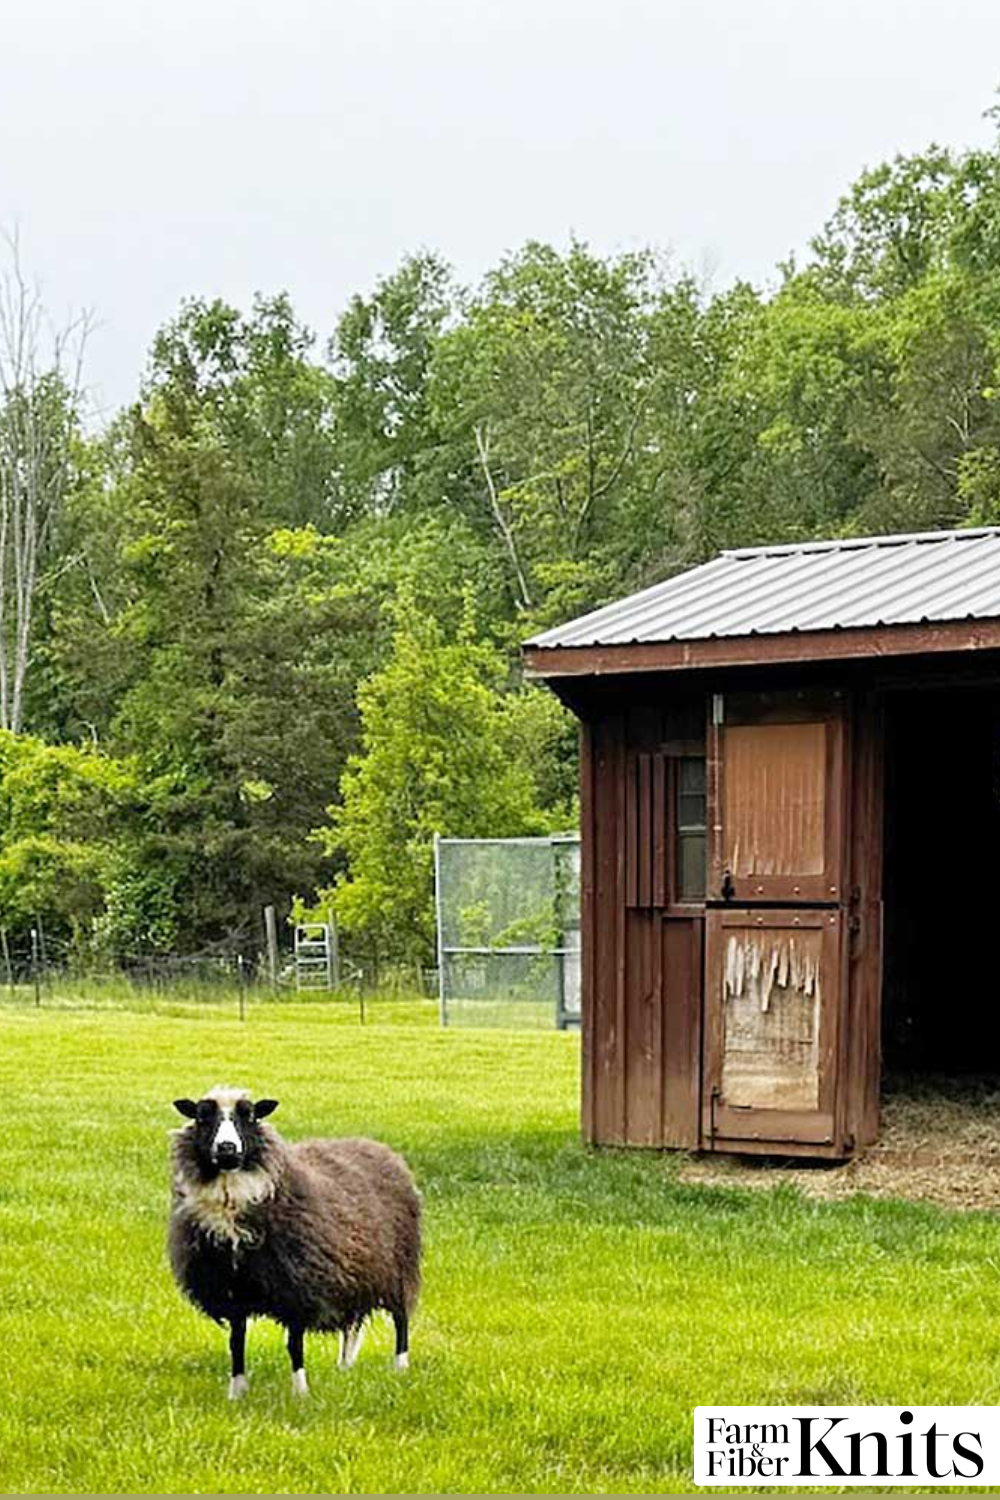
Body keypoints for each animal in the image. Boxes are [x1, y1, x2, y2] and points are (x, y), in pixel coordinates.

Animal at [168, 1085, 421, 1399]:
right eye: (202, 1117)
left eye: (250, 1116)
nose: (227, 1148)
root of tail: (381, 1149)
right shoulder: (233, 1291)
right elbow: (236, 1343)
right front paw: (237, 1392)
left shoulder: (297, 1284)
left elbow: (294, 1344)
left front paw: (300, 1392)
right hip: (356, 1269)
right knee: (352, 1324)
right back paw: (345, 1366)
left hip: (398, 1267)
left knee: (400, 1319)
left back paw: (401, 1366)